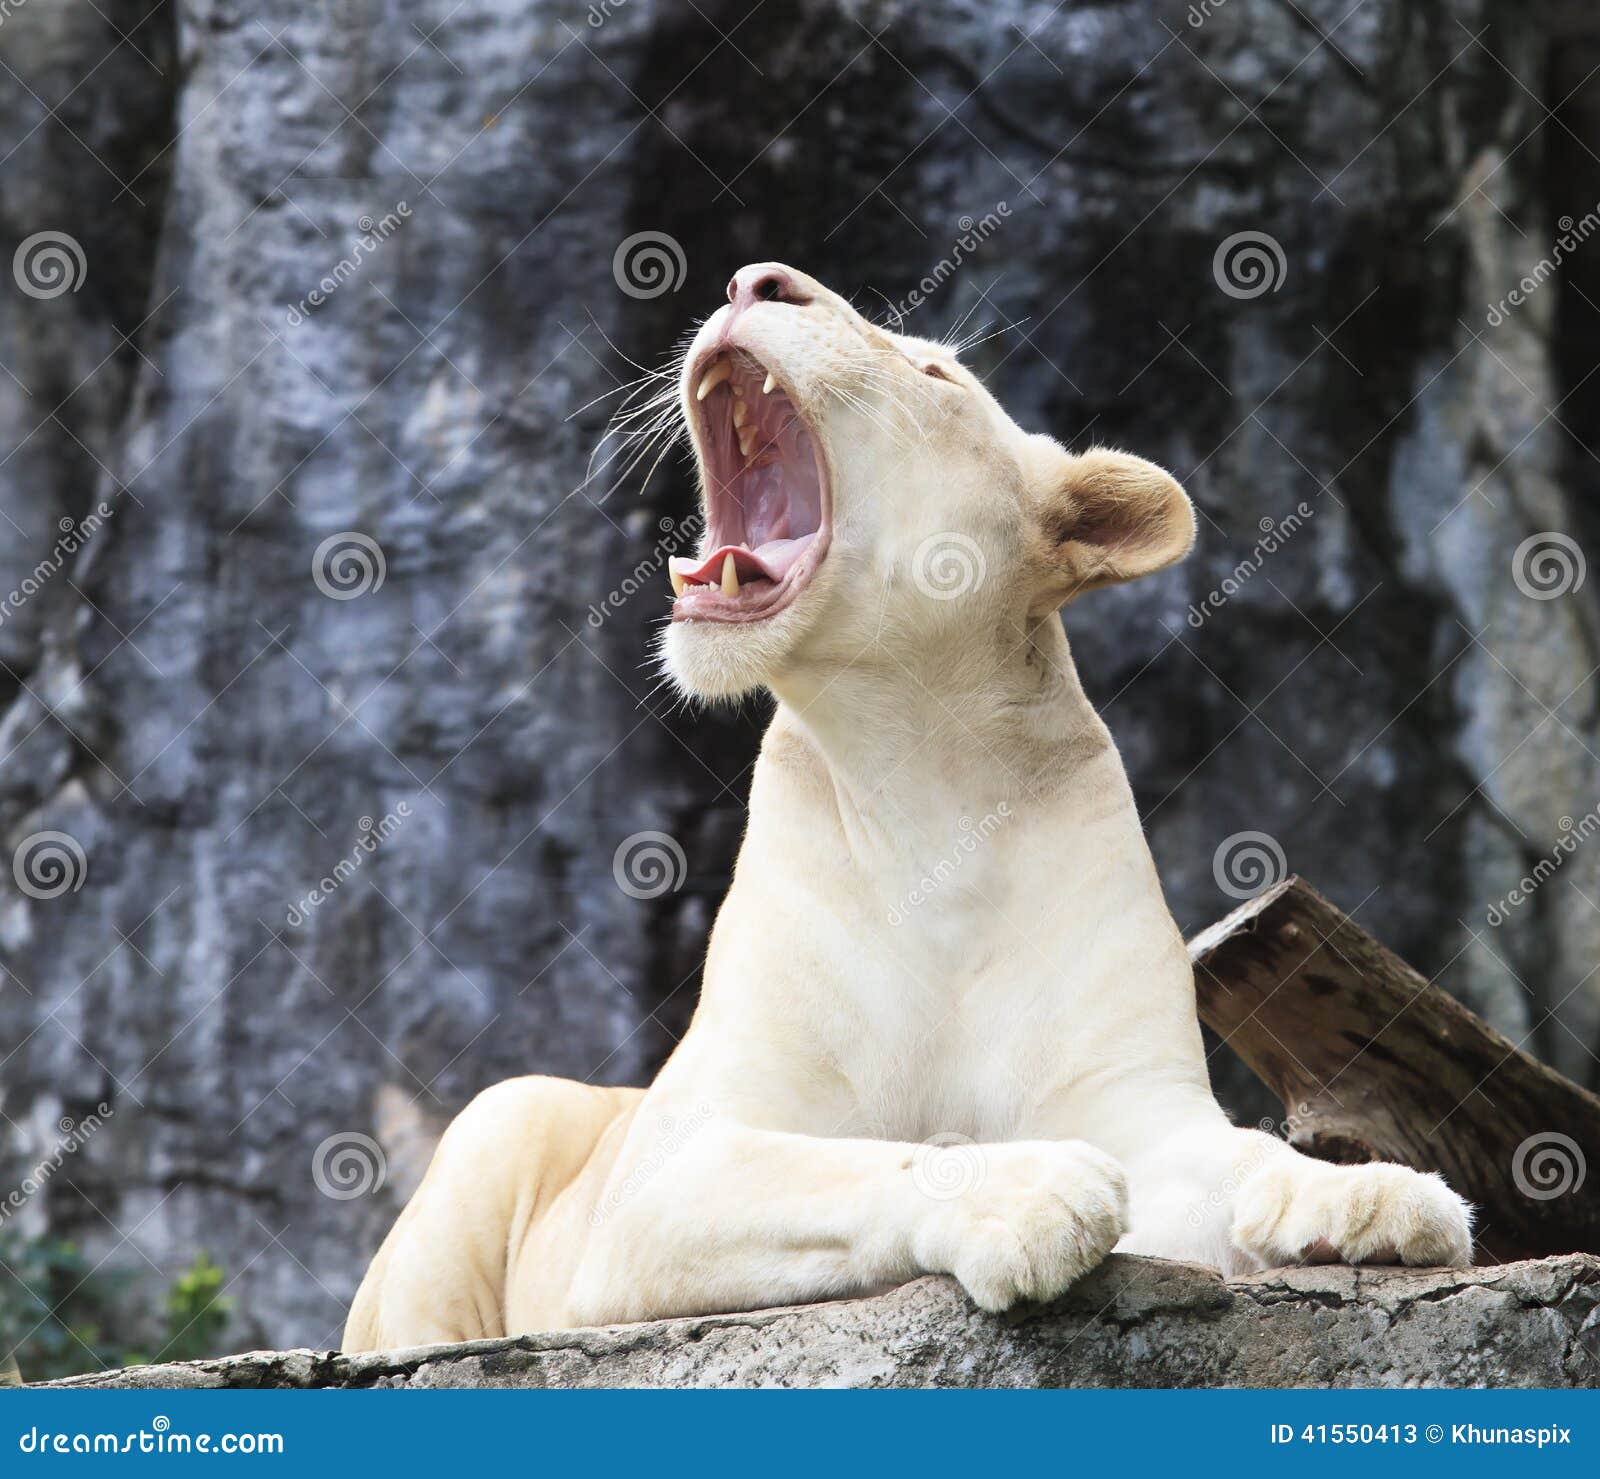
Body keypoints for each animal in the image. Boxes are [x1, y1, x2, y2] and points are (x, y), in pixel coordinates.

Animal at [344, 262, 1471, 1351]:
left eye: (934, 376)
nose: (751, 280)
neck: (922, 781)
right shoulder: (661, 1175)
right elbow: (850, 1163)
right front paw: (1036, 1188)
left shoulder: (1138, 1101)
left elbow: (1239, 1156)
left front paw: (1380, 1197)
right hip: (503, 1116)